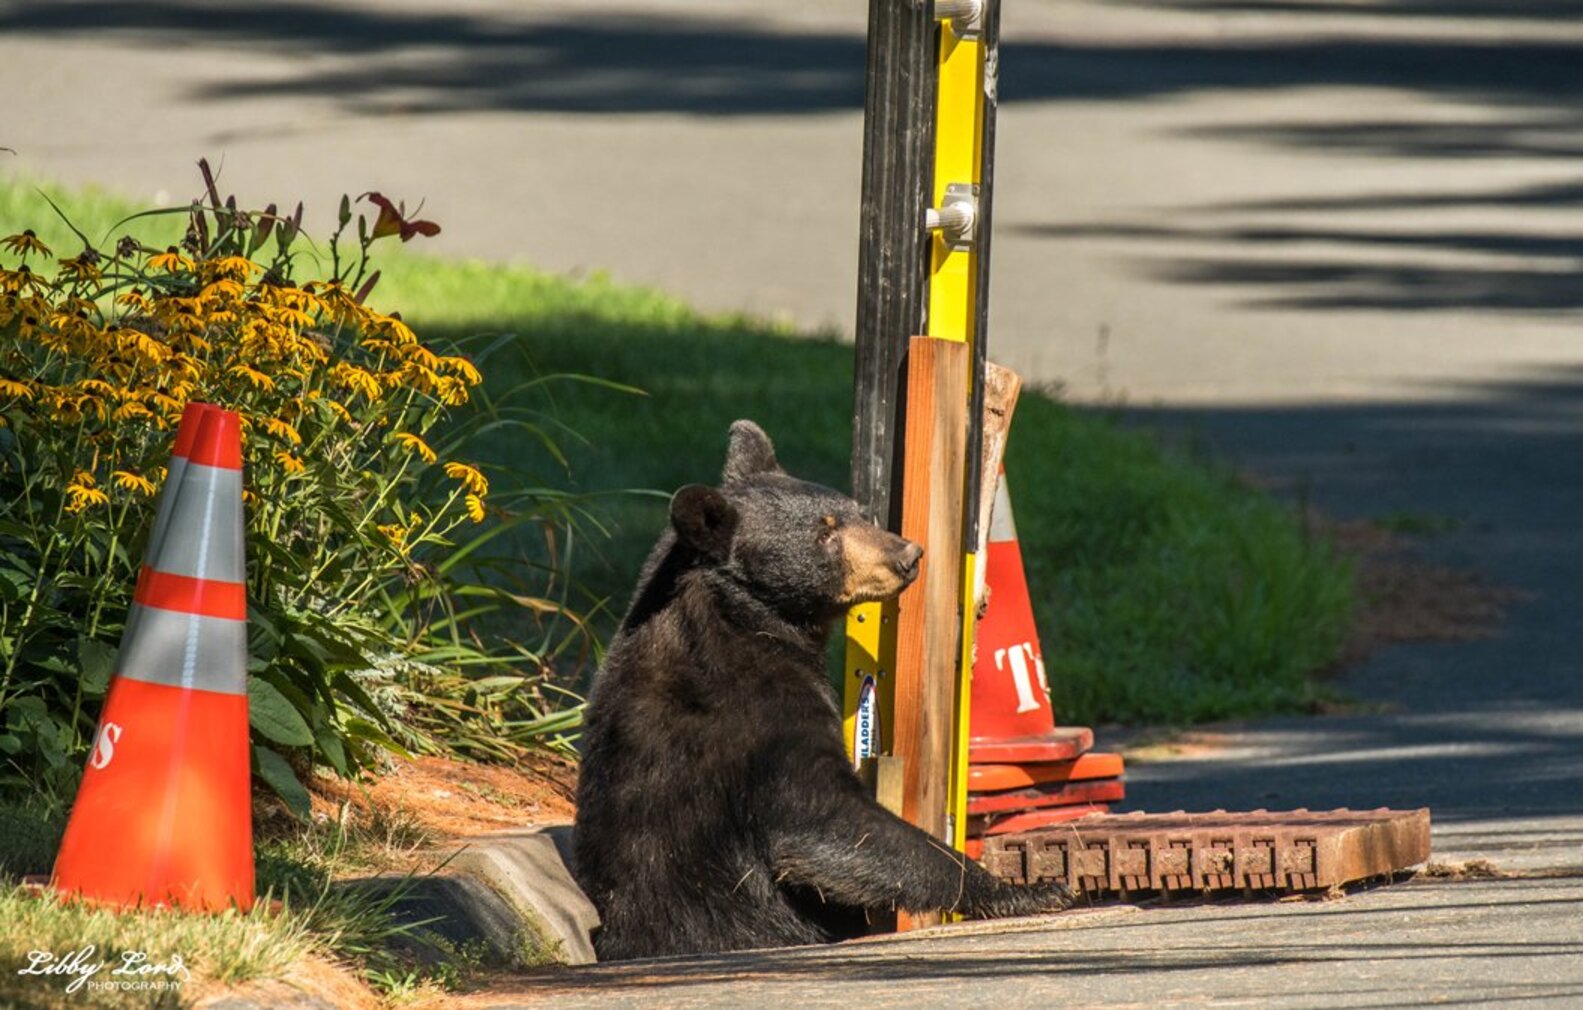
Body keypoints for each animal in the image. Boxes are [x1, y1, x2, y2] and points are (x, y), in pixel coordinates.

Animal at [573, 420, 1073, 961]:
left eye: (858, 512)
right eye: (825, 532)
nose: (908, 554)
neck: (743, 617)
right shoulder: (757, 715)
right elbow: (821, 818)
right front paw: (1029, 890)